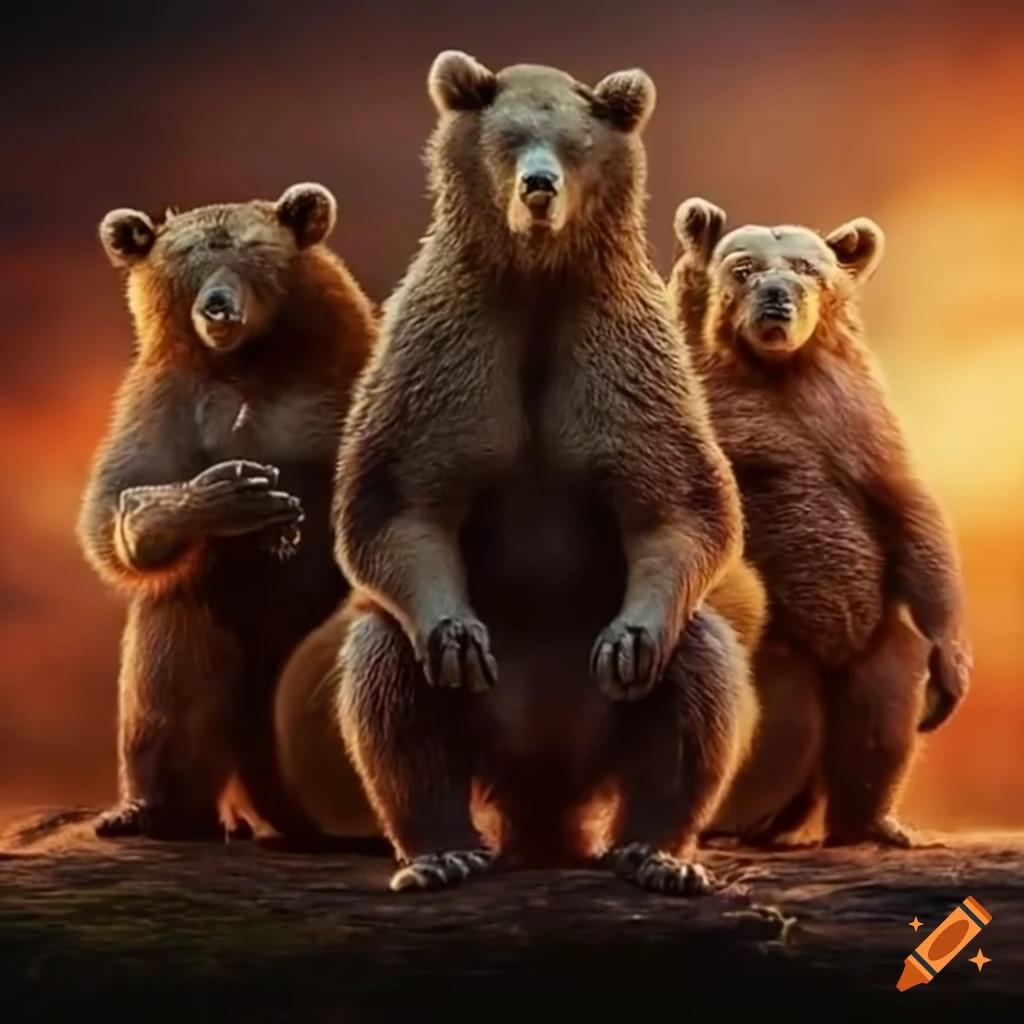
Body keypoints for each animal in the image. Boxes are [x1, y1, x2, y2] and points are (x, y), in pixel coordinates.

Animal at [77, 183, 378, 842]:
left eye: (252, 252)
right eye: (184, 258)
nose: (218, 307)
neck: (248, 366)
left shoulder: (341, 389)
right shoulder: (165, 401)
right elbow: (116, 499)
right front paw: (218, 497)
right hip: (214, 620)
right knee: (172, 666)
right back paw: (154, 810)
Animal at [324, 50, 759, 896]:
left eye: (575, 143)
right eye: (510, 136)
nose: (538, 187)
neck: (534, 283)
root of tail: (544, 792)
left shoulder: (621, 358)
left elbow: (678, 502)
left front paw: (630, 640)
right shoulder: (444, 356)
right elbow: (398, 501)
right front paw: (455, 633)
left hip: (605, 716)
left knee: (700, 678)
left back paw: (656, 852)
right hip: (483, 715)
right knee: (390, 691)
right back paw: (441, 852)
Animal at [667, 197, 972, 847]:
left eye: (807, 267)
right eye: (744, 267)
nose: (778, 296)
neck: (778, 373)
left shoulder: (856, 416)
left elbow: (910, 510)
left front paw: (952, 669)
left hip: (874, 644)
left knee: (883, 708)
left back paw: (874, 822)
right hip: (783, 656)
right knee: (776, 719)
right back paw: (737, 821)